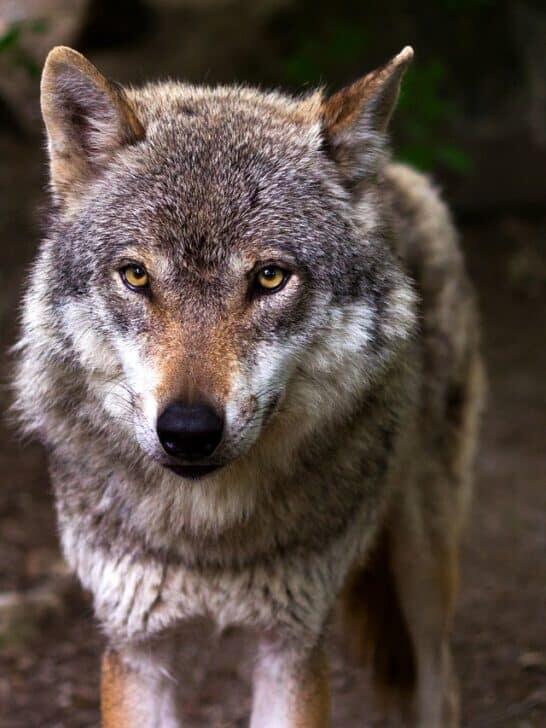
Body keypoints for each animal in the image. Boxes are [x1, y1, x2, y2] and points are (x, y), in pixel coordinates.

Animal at [13, 44, 484, 727]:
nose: (188, 431)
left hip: (423, 562)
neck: (208, 537)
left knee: (440, 683)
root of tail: (393, 174)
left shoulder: (291, 647)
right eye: (135, 275)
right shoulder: (135, 648)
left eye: (269, 278)